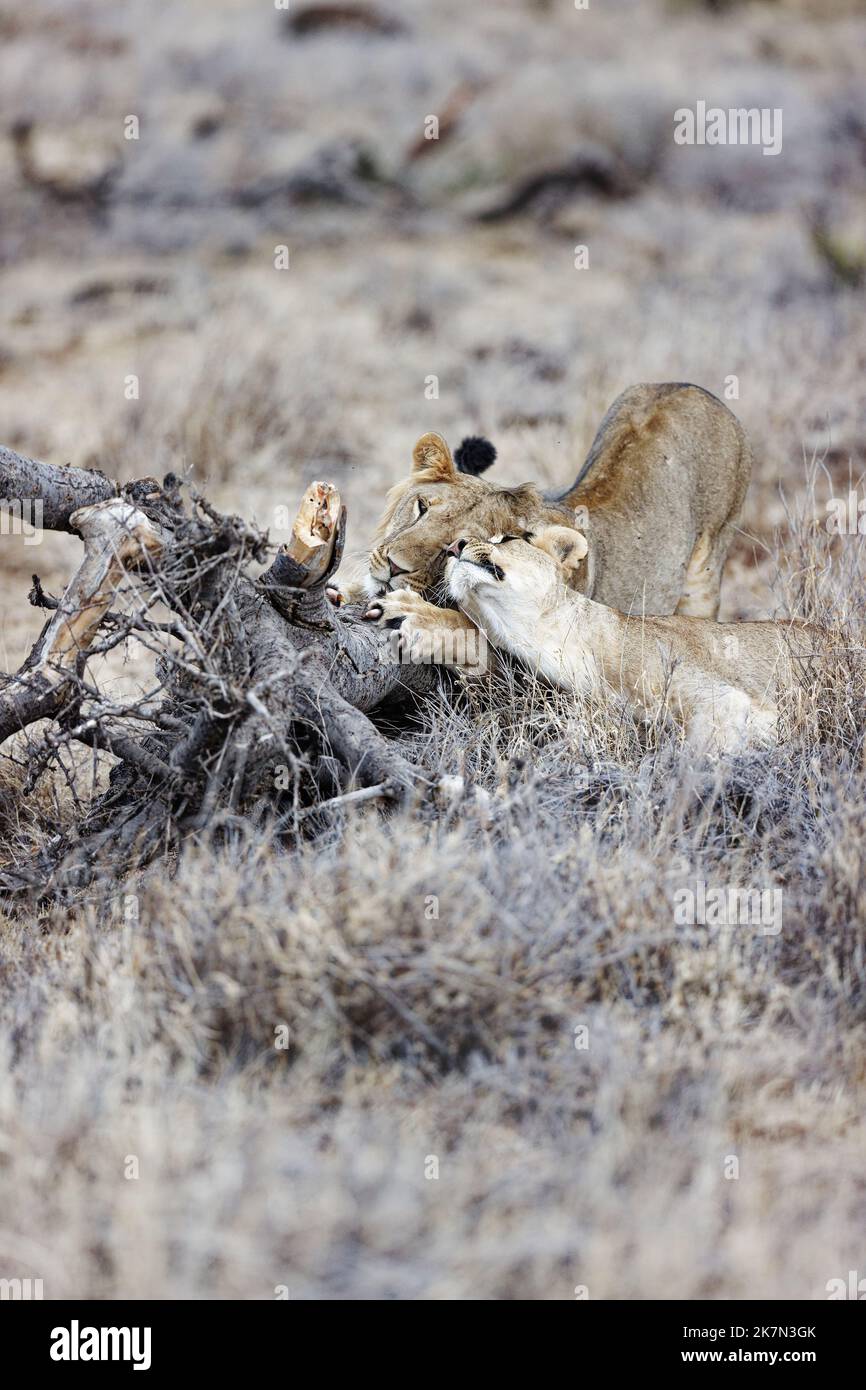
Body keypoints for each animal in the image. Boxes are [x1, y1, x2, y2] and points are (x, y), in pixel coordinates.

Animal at [333, 382, 752, 620]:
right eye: (421, 507)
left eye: (455, 544)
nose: (393, 566)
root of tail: (694, 388)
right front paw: (342, 591)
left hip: (706, 572)